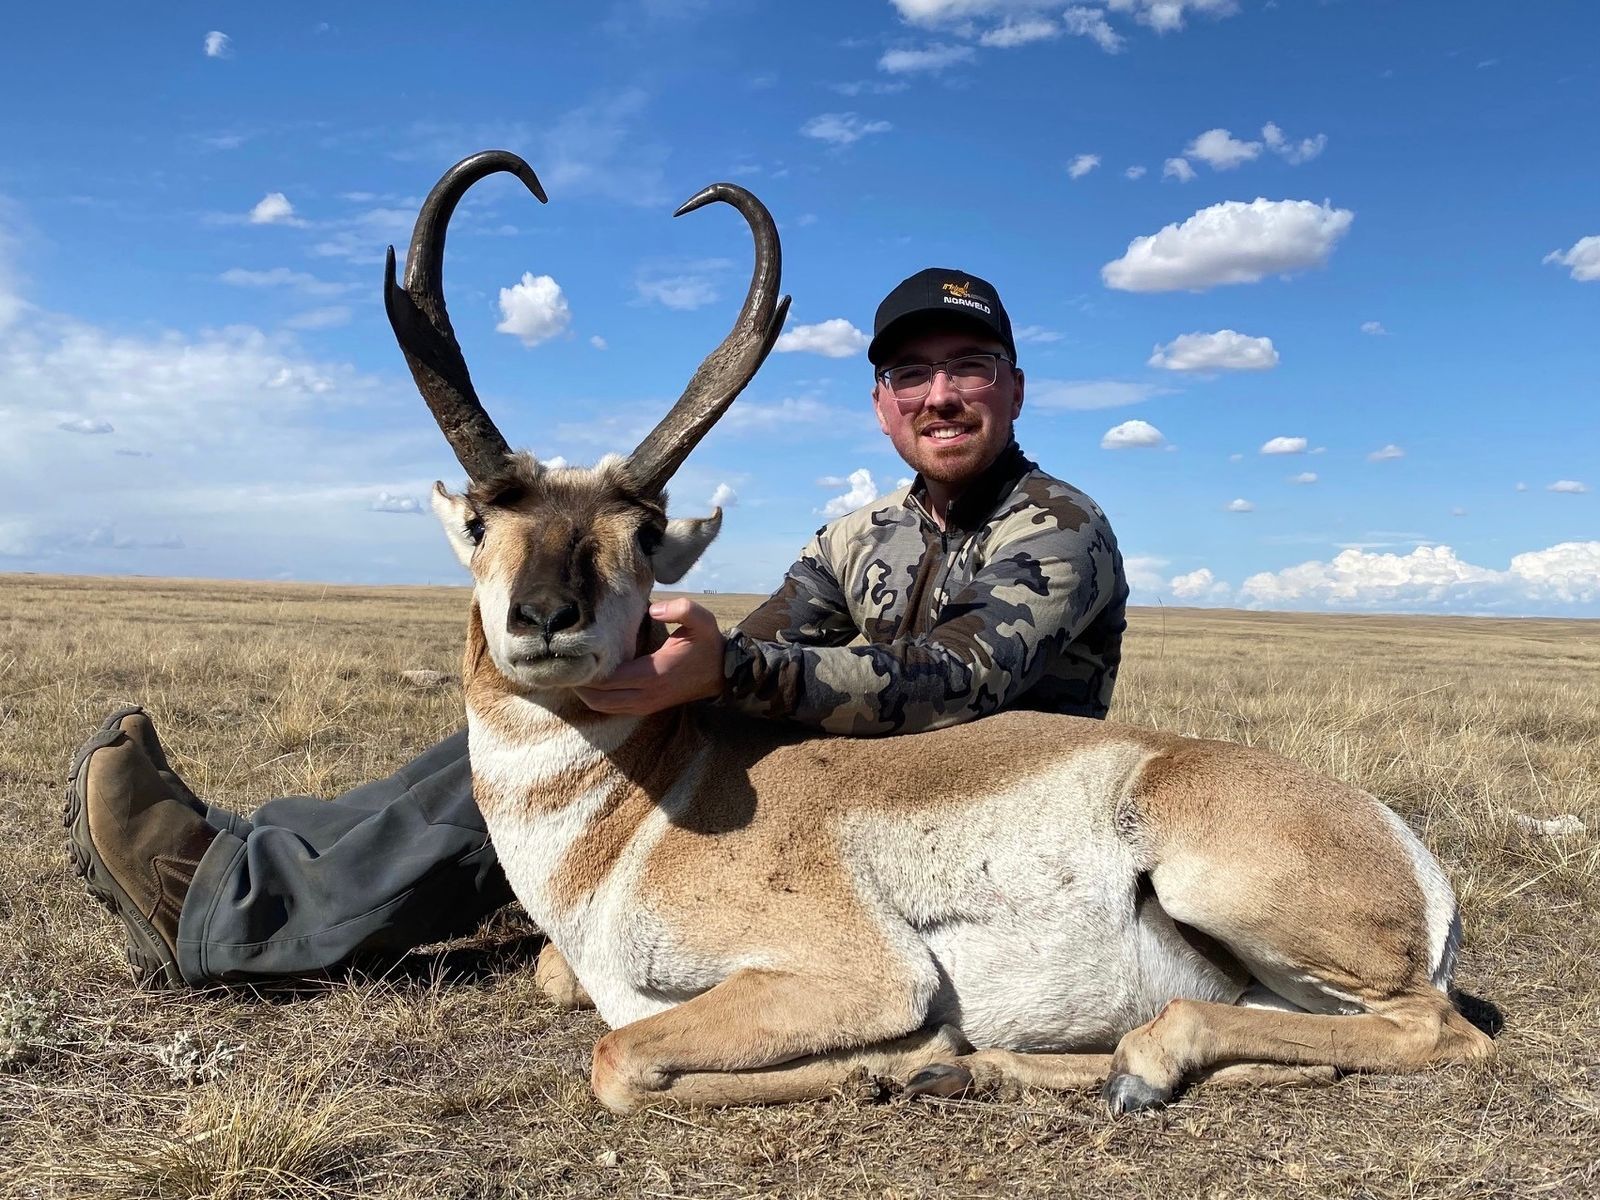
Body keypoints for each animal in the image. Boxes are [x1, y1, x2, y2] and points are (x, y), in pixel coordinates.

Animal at [388, 151, 1495, 1114]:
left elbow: (618, 1057)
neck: (646, 810)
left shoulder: (862, 976)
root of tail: (1404, 850)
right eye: (483, 525)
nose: (545, 619)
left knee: (1437, 1031)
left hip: (1217, 887)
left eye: (646, 534)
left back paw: (1100, 1064)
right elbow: (564, 989)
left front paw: (903, 1057)